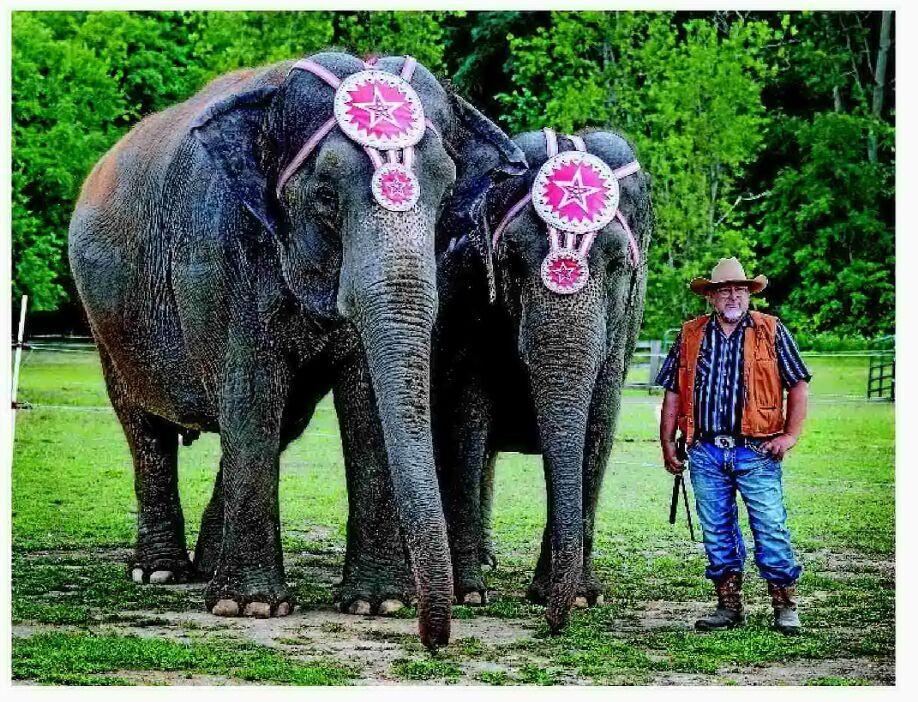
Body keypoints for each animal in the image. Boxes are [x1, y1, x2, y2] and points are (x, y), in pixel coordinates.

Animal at [68, 51, 525, 649]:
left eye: (447, 195)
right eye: (327, 197)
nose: (433, 640)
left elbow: (361, 400)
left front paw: (378, 604)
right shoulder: (218, 250)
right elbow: (253, 388)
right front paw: (250, 608)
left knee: (275, 423)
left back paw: (207, 564)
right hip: (106, 322)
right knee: (145, 426)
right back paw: (161, 572)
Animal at [431, 128, 653, 632]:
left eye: (617, 265)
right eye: (510, 261)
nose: (554, 624)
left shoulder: (626, 326)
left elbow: (599, 426)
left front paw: (581, 597)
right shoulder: (467, 297)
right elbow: (467, 419)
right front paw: (470, 595)